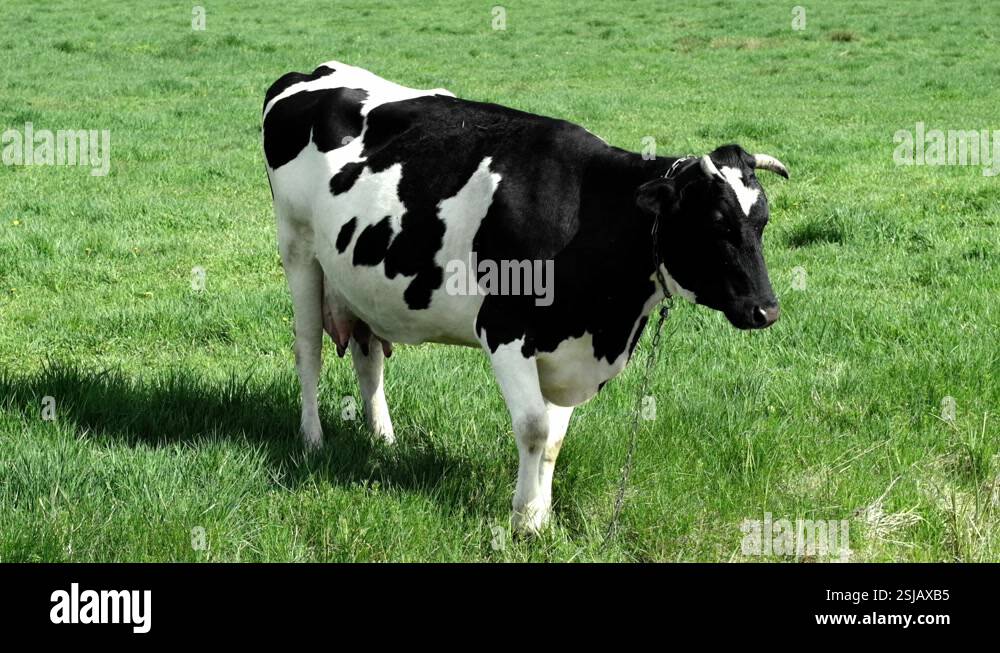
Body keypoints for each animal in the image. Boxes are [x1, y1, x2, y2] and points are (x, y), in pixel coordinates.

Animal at [262, 60, 788, 533]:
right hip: (299, 249)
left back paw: (384, 440)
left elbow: (554, 439)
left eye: (761, 222)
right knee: (308, 349)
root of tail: (311, 73)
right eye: (715, 225)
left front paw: (541, 515)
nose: (766, 310)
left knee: (368, 356)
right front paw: (522, 520)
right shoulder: (504, 330)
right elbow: (534, 428)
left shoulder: (570, 349)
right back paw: (313, 439)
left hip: (359, 280)